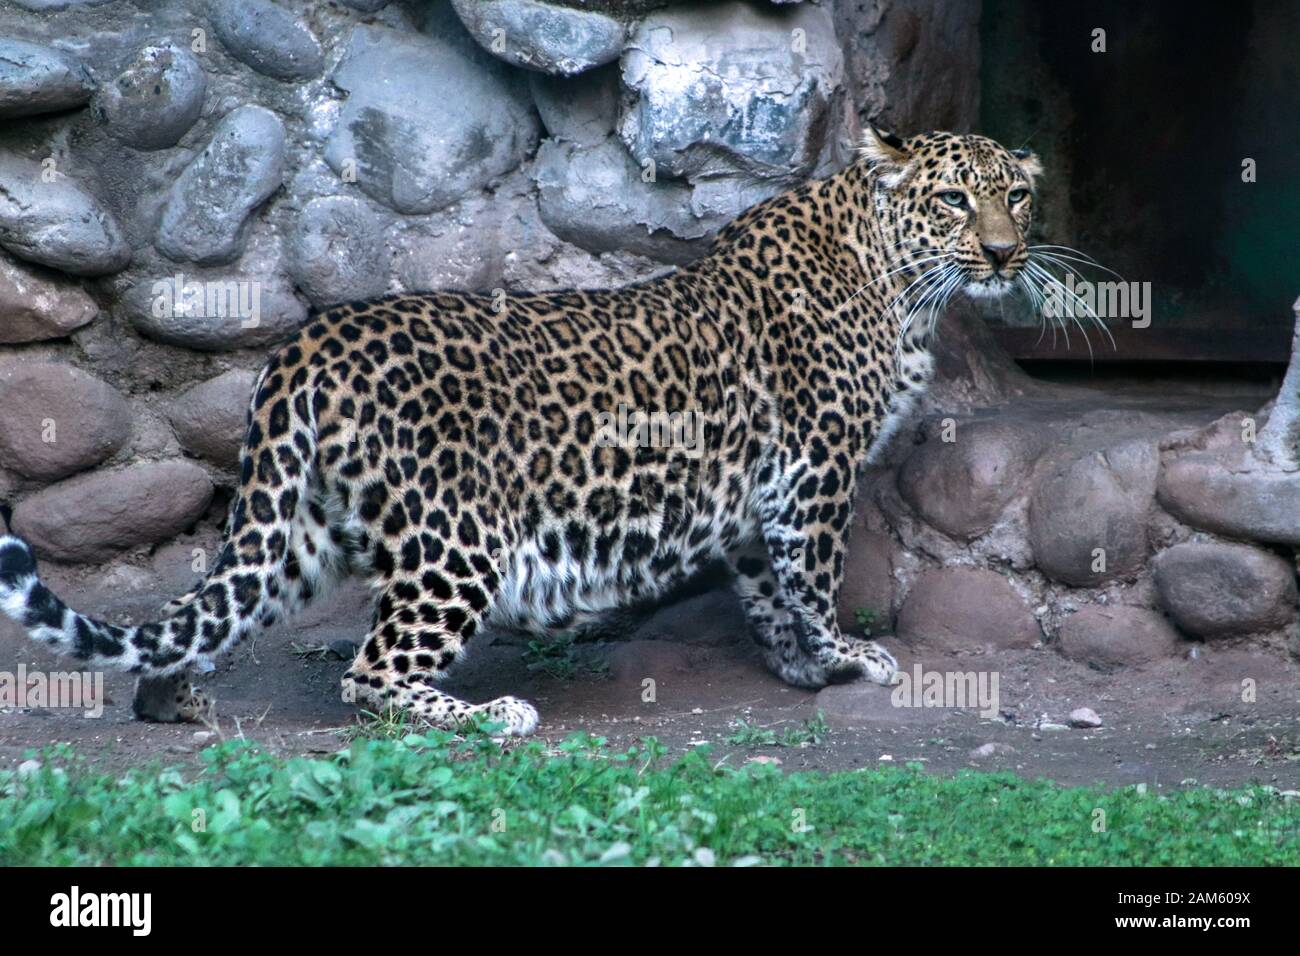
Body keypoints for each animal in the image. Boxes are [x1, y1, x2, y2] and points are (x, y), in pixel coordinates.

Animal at [0, 129, 1042, 736]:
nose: (1003, 254)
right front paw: (842, 659)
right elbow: (813, 579)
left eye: (1018, 196)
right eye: (954, 199)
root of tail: (306, 343)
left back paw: (171, 699)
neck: (897, 275)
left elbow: (763, 578)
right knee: (370, 675)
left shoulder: (761, 485)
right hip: (458, 540)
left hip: (298, 526)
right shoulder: (817, 465)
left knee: (198, 614)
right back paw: (493, 713)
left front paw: (796, 665)